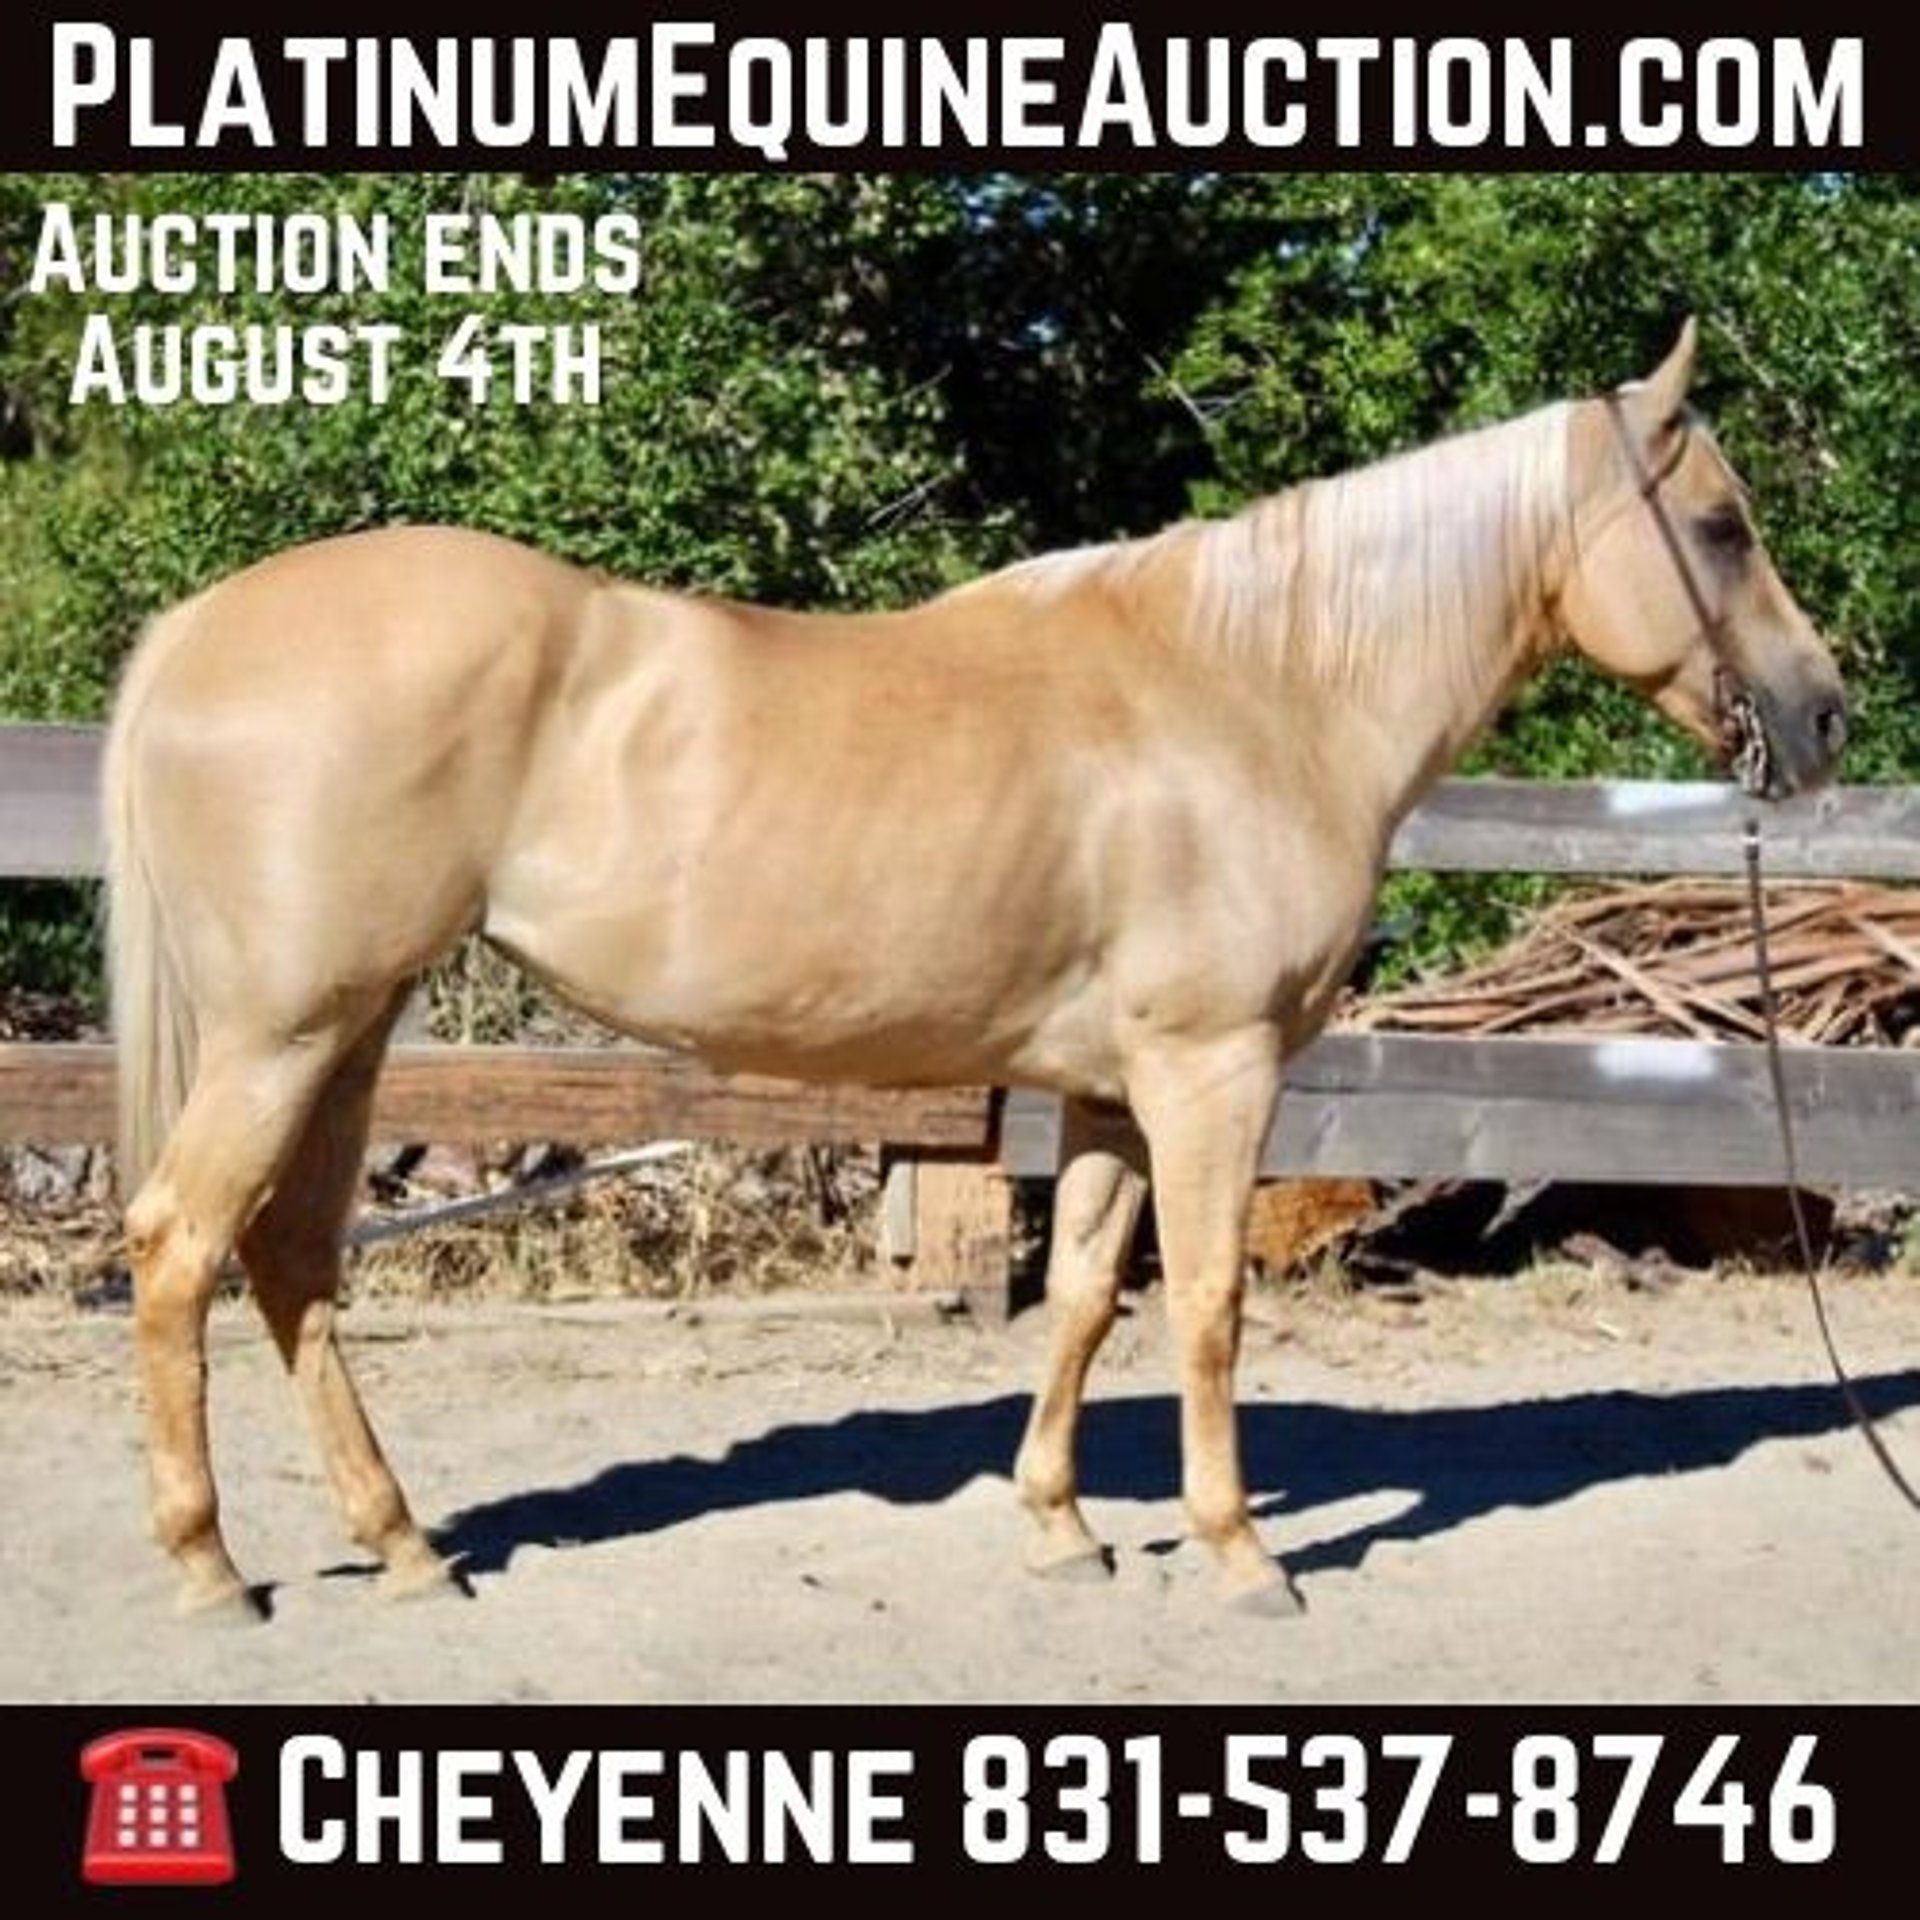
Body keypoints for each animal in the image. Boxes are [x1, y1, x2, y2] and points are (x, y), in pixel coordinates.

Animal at [103, 319, 1846, 1620]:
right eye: (1721, 527)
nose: (1823, 715)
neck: (1260, 690)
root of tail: (194, 631)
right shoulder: (1215, 1071)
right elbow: (1205, 1302)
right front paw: (1240, 1553)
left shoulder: (1114, 1093)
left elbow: (1079, 1294)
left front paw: (1061, 1528)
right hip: (283, 1035)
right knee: (184, 1245)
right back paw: (210, 1571)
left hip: (349, 1031)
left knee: (291, 1261)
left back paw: (404, 1549)